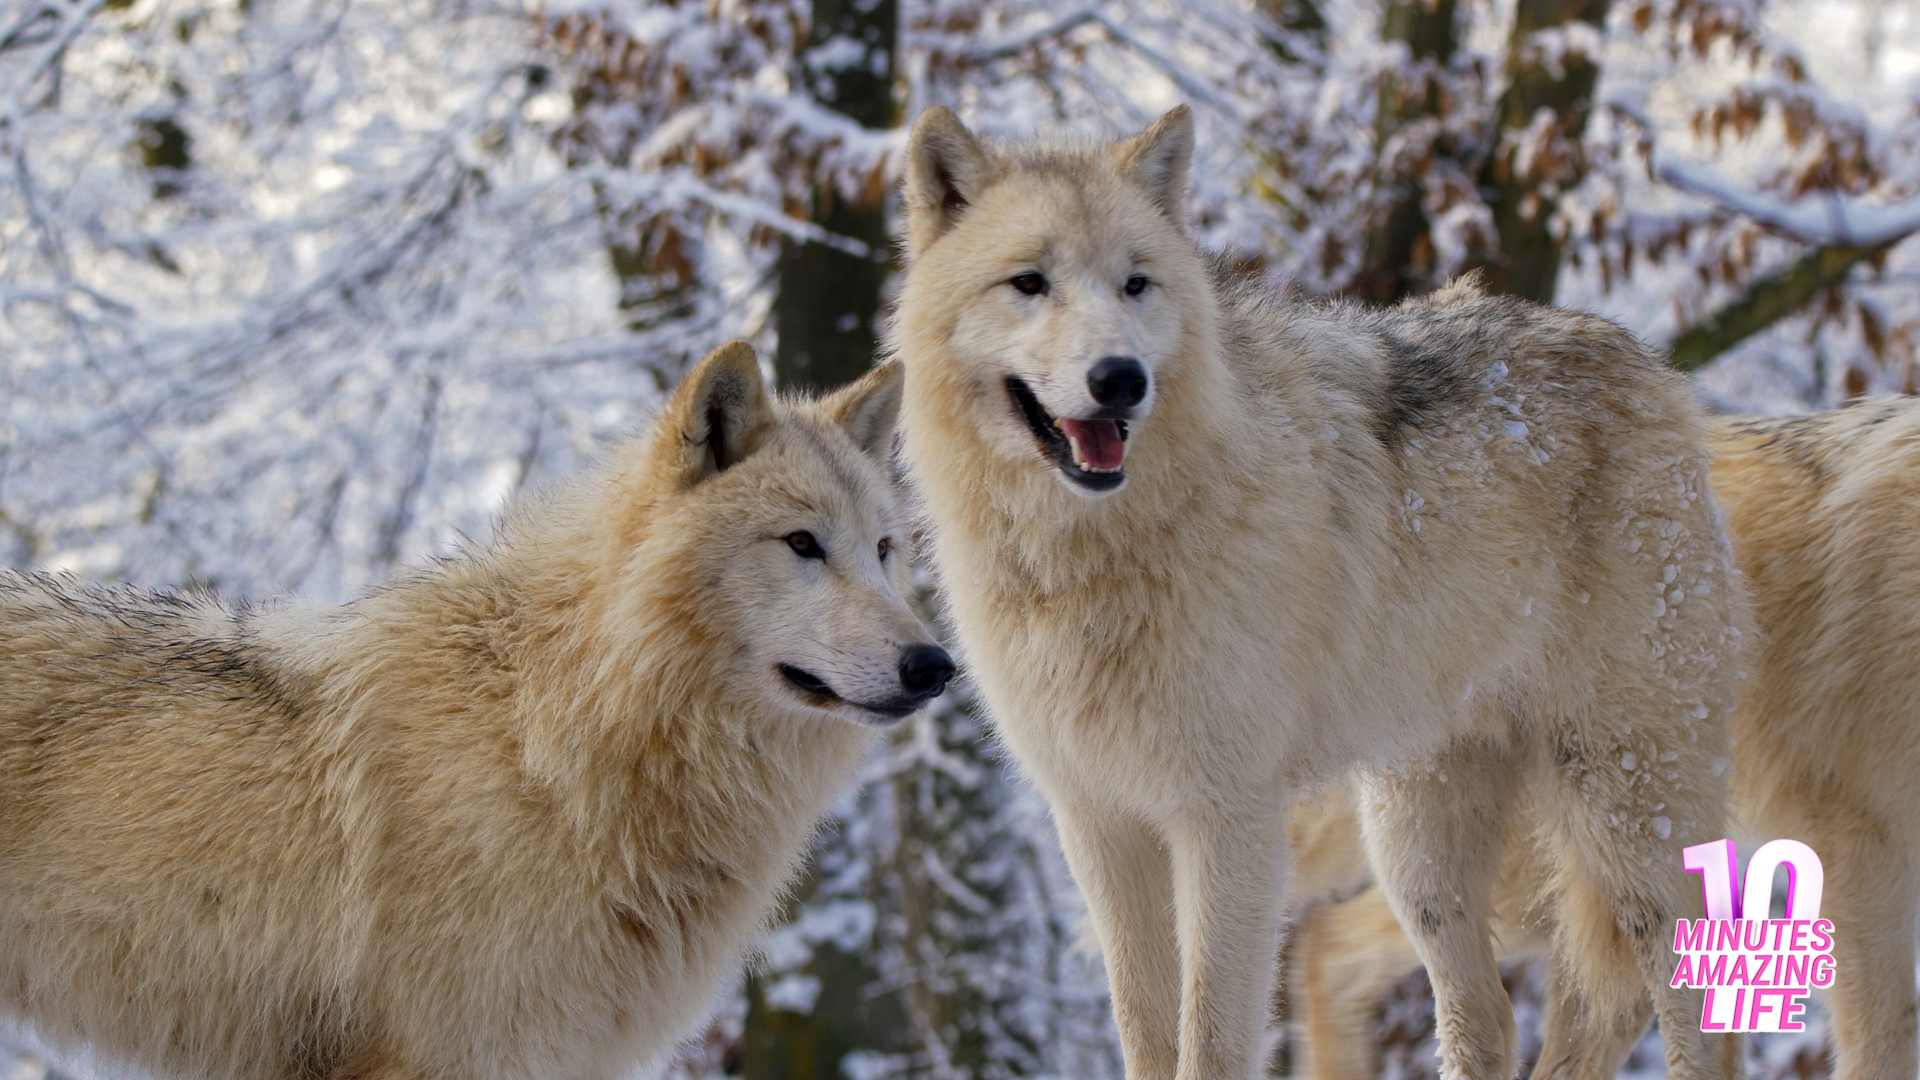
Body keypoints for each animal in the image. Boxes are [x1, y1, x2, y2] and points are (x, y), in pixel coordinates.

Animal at [889, 105, 1747, 1080]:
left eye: (1135, 283)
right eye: (1028, 283)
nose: (1120, 378)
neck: (1089, 557)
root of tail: (1651, 366)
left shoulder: (1230, 822)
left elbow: (1209, 1042)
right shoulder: (1100, 826)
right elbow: (1145, 1032)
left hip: (1626, 812)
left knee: (1686, 1002)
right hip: (1420, 853)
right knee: (1493, 1016)